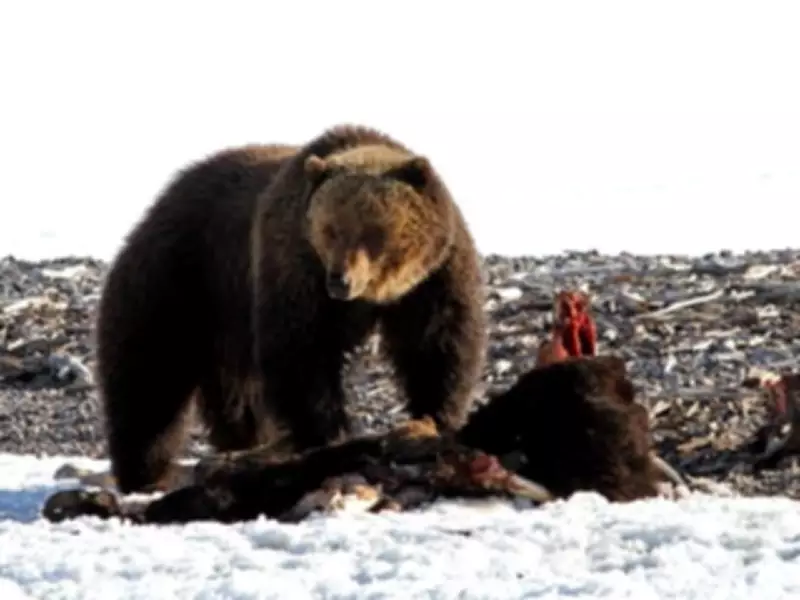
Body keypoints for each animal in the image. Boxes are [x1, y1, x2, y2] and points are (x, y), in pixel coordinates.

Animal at [95, 124, 487, 495]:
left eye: (373, 231)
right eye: (330, 229)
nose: (340, 280)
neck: (377, 294)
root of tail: (165, 196)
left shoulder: (435, 278)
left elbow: (437, 346)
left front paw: (434, 419)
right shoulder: (295, 268)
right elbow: (301, 353)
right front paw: (326, 435)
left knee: (234, 395)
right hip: (182, 276)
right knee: (149, 373)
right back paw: (145, 472)